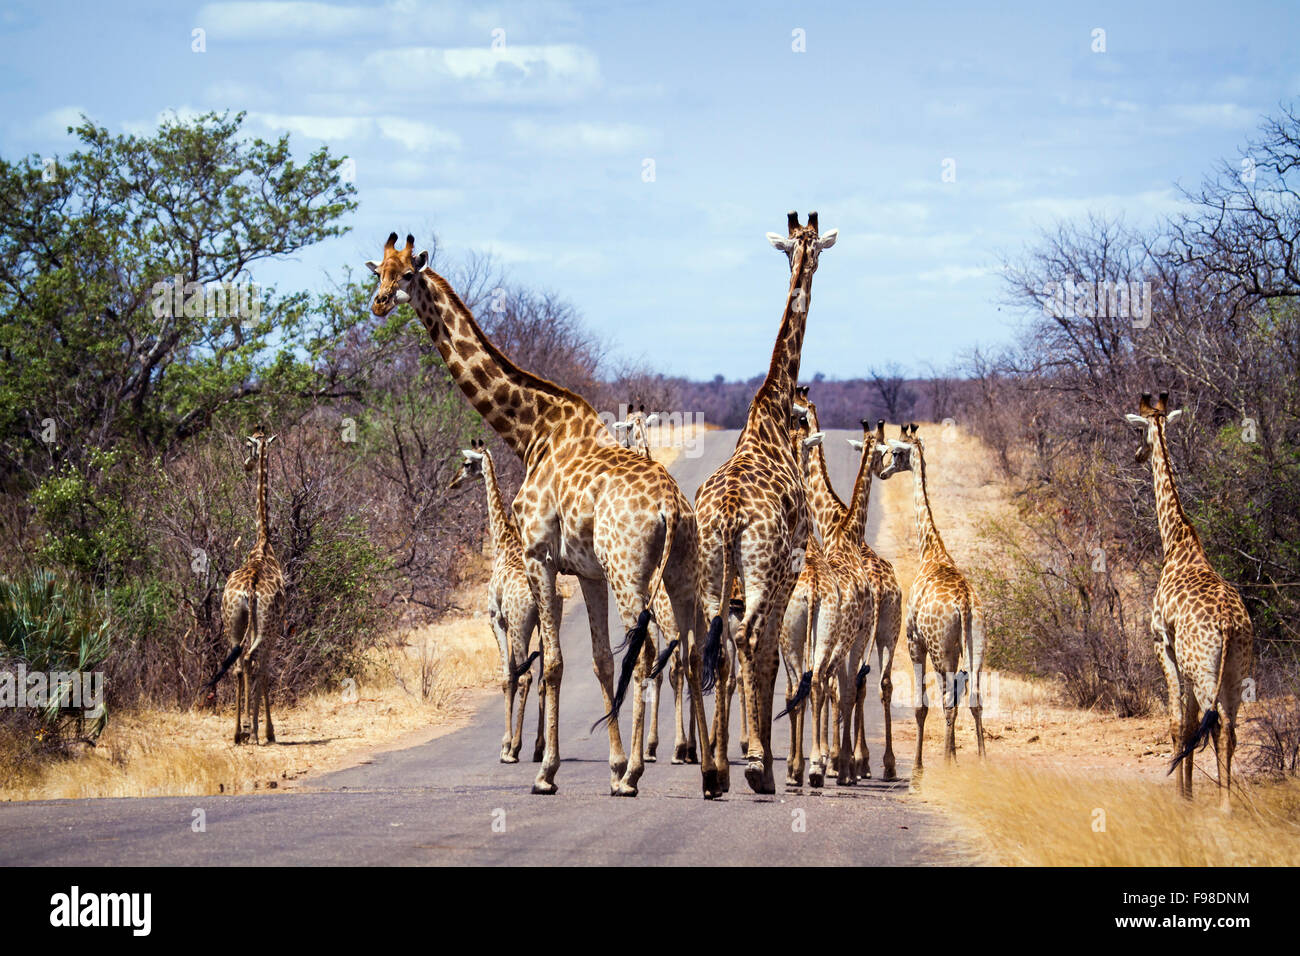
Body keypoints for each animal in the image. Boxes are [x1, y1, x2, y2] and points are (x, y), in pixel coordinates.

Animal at [207, 426, 287, 746]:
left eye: (250, 447)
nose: (246, 465)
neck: (263, 541)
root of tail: (249, 589)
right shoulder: (275, 628)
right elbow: (265, 670)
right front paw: (266, 730)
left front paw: (248, 727)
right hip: (264, 624)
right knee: (253, 661)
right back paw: (254, 732)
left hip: (233, 622)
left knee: (240, 664)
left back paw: (237, 733)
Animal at [449, 438, 546, 763]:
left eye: (467, 464)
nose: (453, 482)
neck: (503, 543)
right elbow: (512, 675)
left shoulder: (496, 618)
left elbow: (507, 677)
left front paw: (506, 745)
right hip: (545, 625)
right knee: (544, 675)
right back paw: (539, 748)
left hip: (519, 625)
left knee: (527, 676)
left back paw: (515, 748)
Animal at [799, 391, 904, 780]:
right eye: (883, 452)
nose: (885, 471)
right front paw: (844, 759)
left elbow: (836, 686)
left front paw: (835, 759)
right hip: (886, 630)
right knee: (871, 683)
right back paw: (877, 763)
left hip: (862, 632)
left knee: (842, 682)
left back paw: (848, 762)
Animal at [881, 423, 985, 776]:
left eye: (894, 453)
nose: (882, 472)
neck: (932, 550)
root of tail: (964, 603)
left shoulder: (914, 641)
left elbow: (921, 706)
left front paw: (918, 766)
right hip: (977, 646)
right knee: (975, 699)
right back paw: (981, 758)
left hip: (942, 650)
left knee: (949, 702)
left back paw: (945, 762)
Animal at [1127, 392, 1252, 808]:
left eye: (1138, 431)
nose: (1137, 455)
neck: (1177, 542)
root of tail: (1229, 625)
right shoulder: (1182, 655)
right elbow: (1190, 723)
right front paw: (1189, 793)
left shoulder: (1161, 642)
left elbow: (1178, 722)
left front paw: (1182, 796)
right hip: (1235, 670)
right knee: (1229, 727)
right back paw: (1225, 802)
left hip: (1203, 669)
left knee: (1215, 725)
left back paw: (1225, 807)